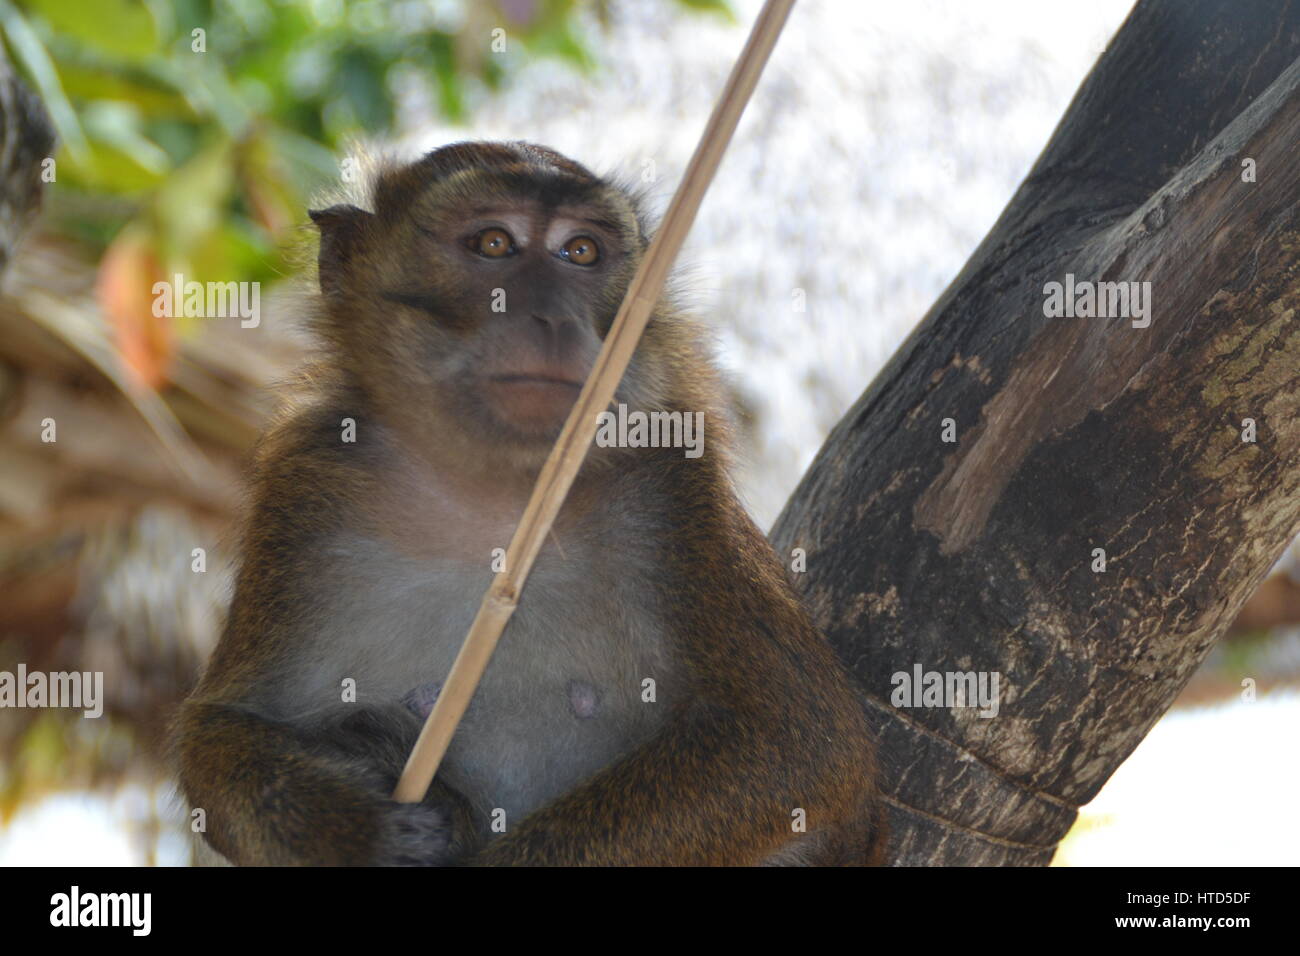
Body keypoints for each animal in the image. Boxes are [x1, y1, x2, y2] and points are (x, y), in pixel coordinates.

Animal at [173, 140, 882, 866]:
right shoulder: (304, 489)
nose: (555, 318)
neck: (491, 490)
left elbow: (796, 743)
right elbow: (217, 729)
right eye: (494, 243)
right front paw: (358, 830)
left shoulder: (676, 496)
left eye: (581, 252)